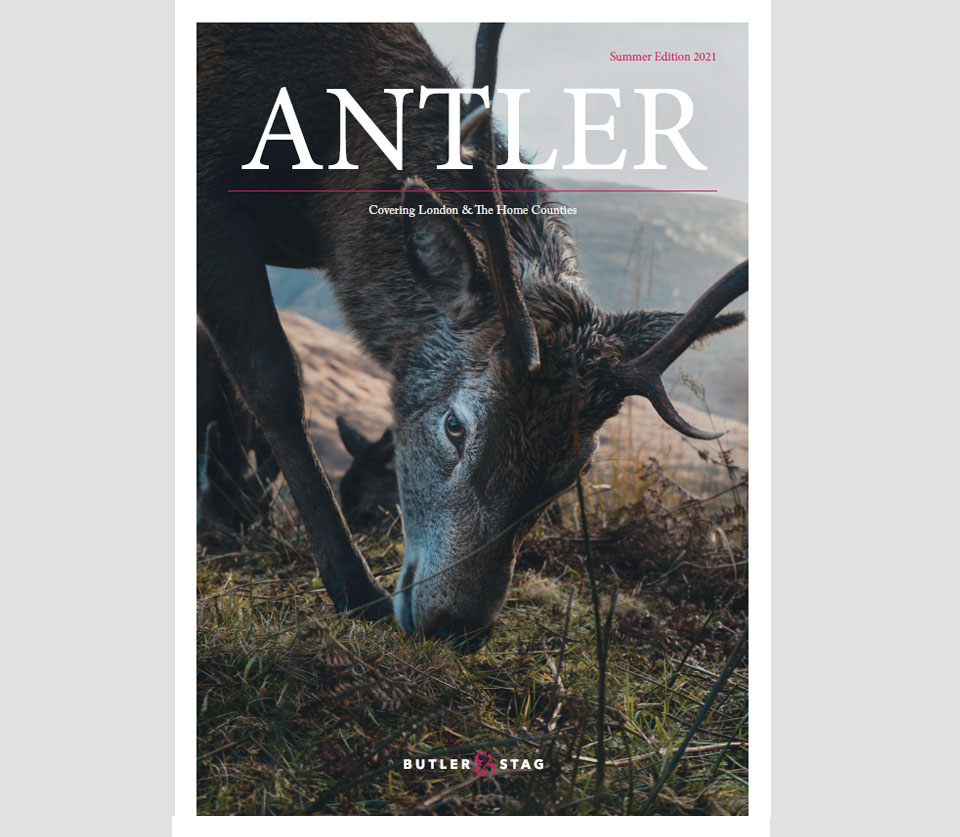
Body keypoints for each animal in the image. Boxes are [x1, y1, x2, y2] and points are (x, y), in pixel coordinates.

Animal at [197, 23, 747, 650]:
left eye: (580, 465)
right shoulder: (211, 207)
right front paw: (352, 589)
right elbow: (273, 386)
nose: (457, 627)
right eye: (454, 425)